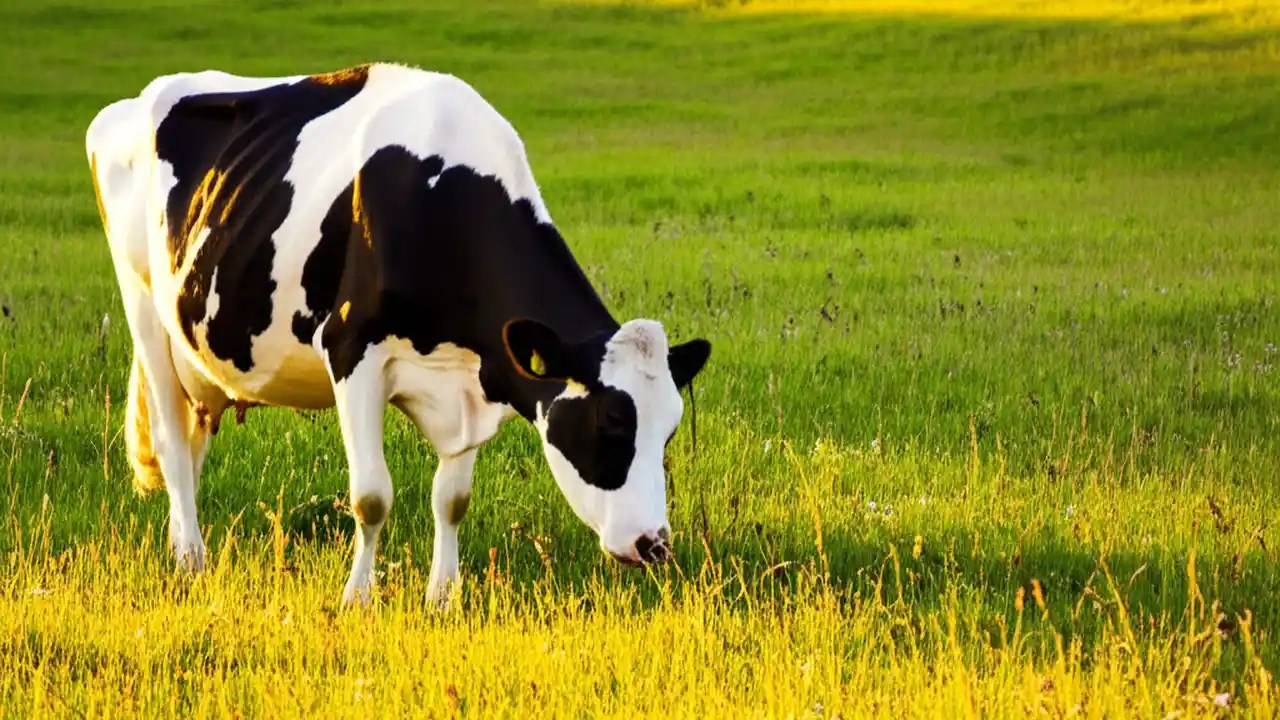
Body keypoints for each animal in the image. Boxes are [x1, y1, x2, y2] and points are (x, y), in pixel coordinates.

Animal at [86, 63, 711, 606]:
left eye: (670, 431)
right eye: (610, 423)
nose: (654, 544)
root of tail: (135, 100)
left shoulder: (475, 375)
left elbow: (452, 499)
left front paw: (443, 598)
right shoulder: (350, 350)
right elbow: (371, 496)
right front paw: (357, 599)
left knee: (192, 446)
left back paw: (179, 544)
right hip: (144, 305)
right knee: (171, 441)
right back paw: (191, 558)